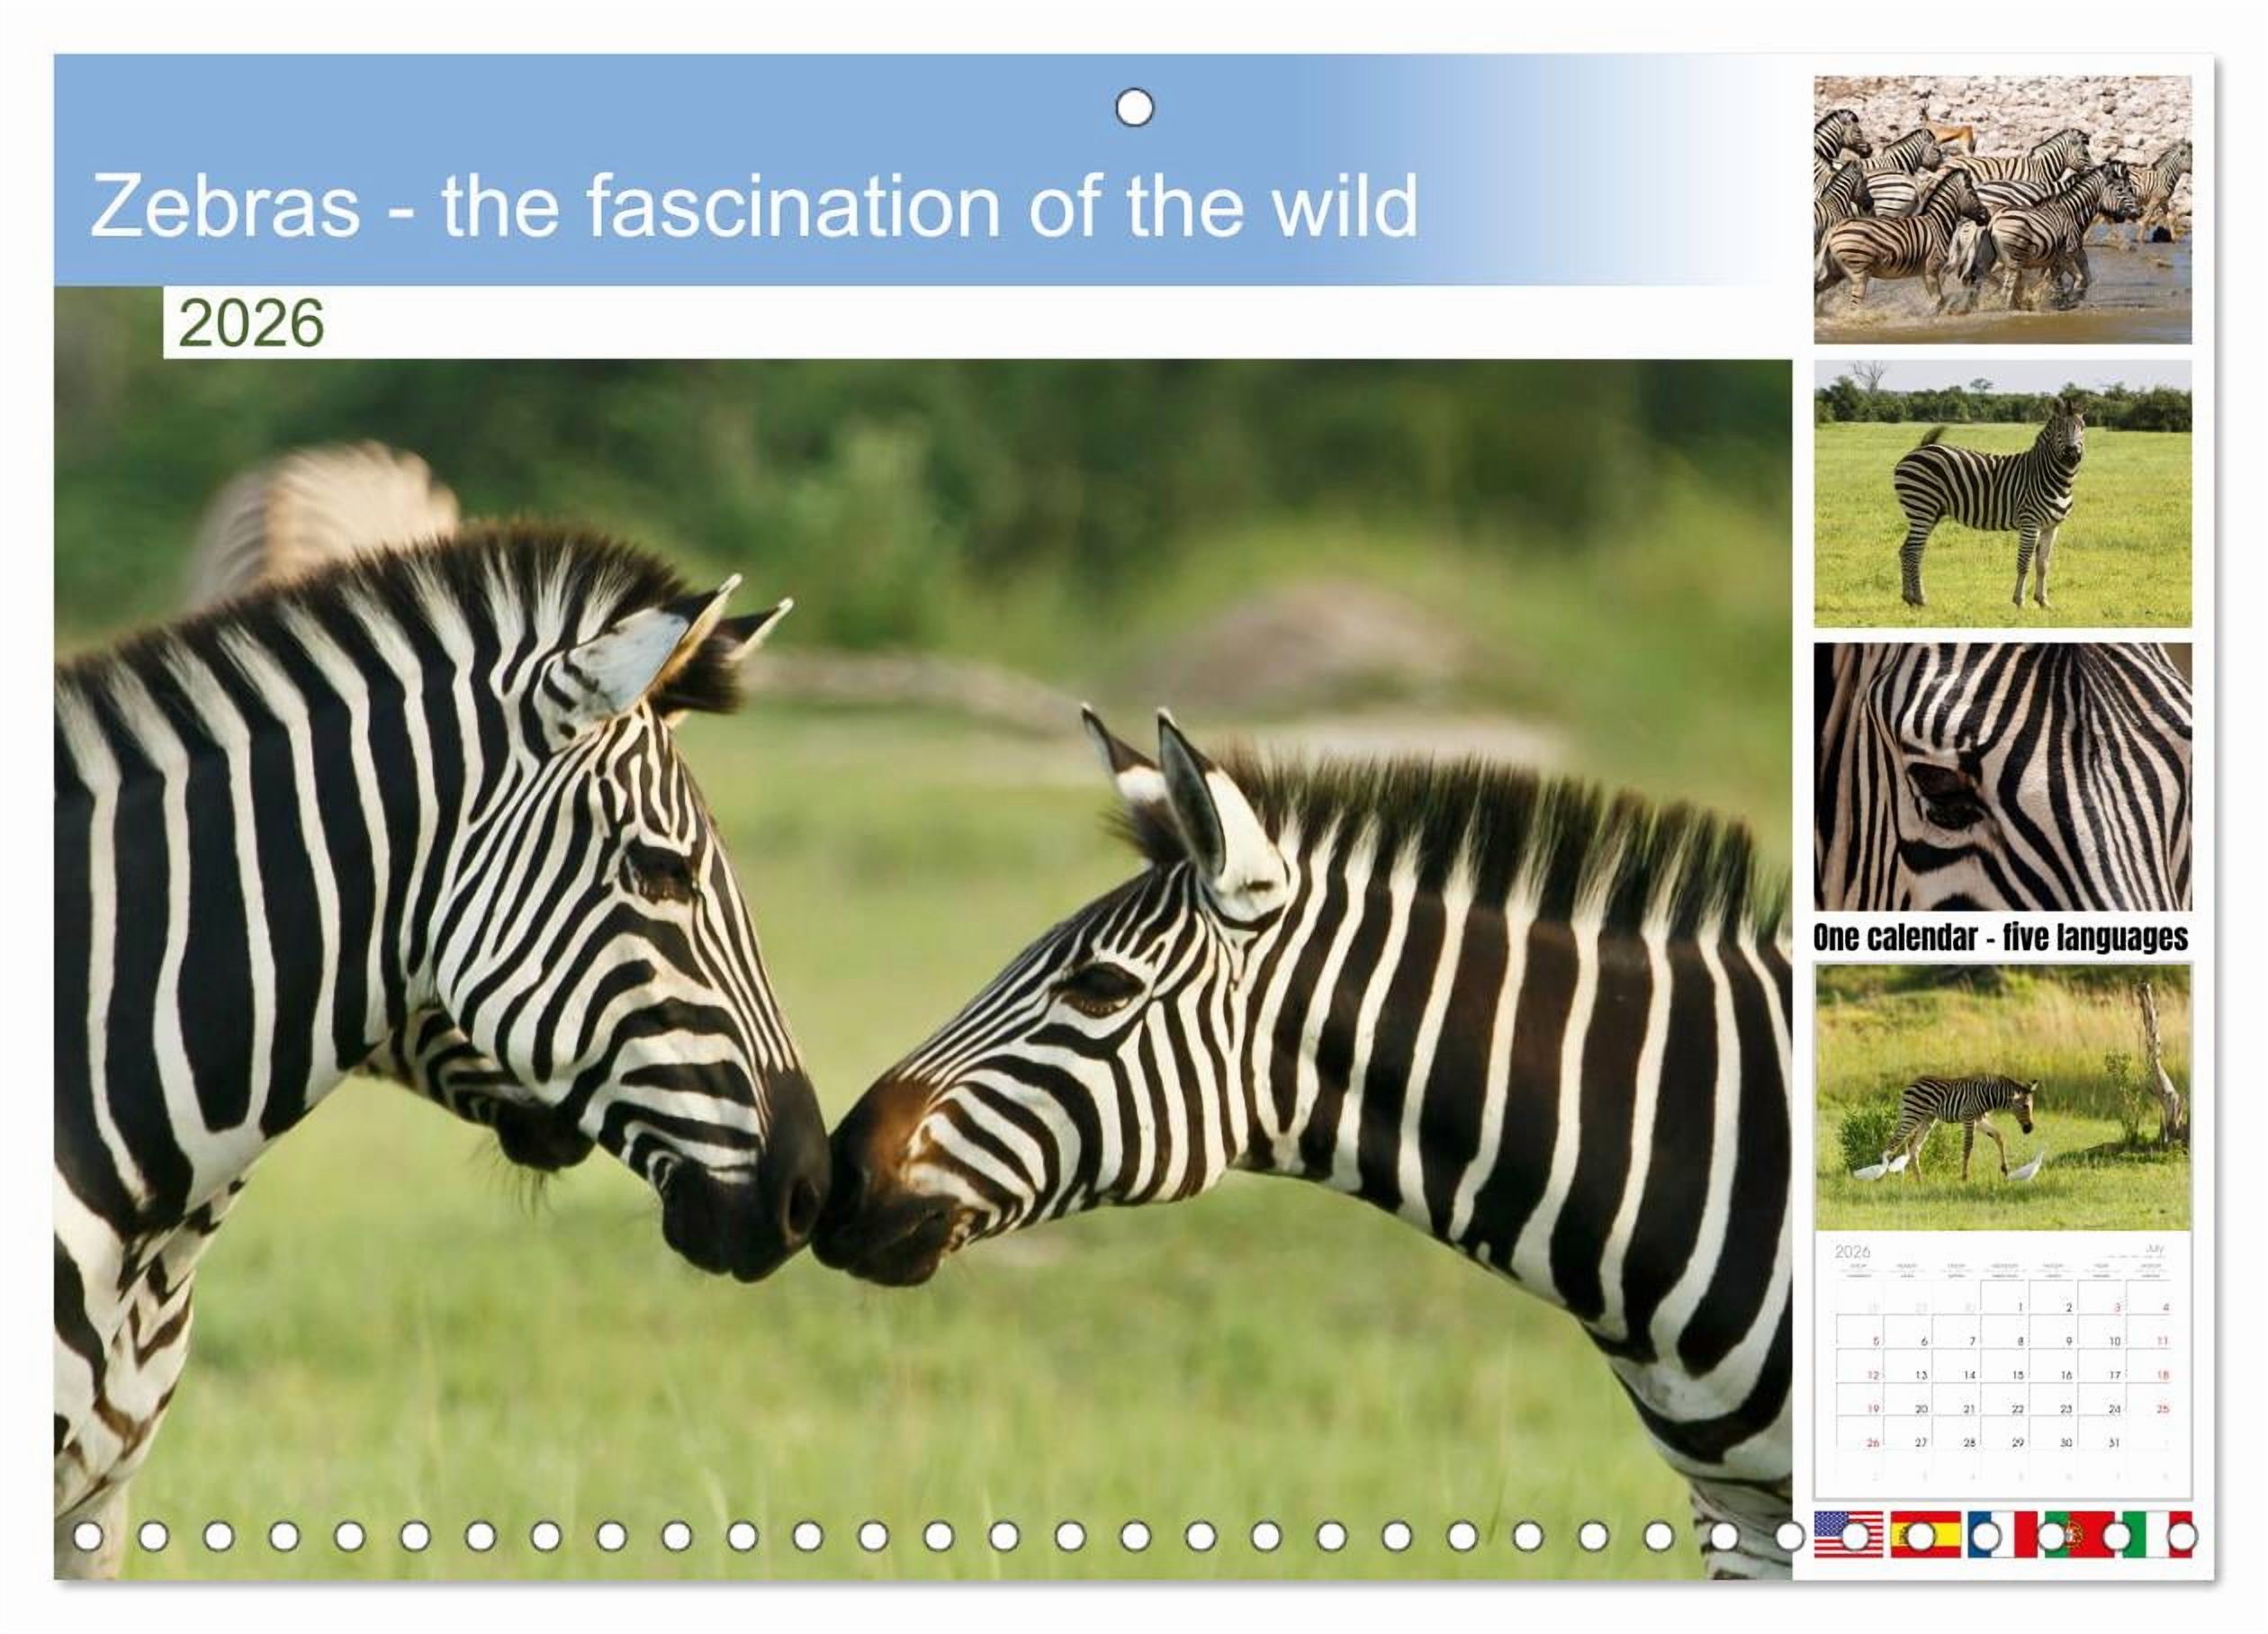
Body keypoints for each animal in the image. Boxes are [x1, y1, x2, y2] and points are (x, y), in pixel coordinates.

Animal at [1816, 169, 1988, 308]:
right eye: (1974, 194)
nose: (1987, 215)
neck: (1937, 223)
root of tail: (1834, 229)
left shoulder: (1925, 272)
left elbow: (1939, 300)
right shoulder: (1932, 268)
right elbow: (1938, 300)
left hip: (1835, 271)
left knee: (1817, 287)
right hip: (1859, 273)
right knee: (1854, 306)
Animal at [1861, 1076, 2038, 1182]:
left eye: (2032, 1106)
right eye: (2025, 1106)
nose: (2030, 1129)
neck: (1989, 1096)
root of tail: (1911, 1084)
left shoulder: (1979, 1119)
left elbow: (1998, 1136)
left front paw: (2005, 1169)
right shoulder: (1968, 1117)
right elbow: (1968, 1147)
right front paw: (1964, 1177)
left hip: (1927, 1119)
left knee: (1914, 1148)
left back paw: (1920, 1180)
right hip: (1912, 1116)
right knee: (1893, 1142)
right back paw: (1880, 1177)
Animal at [1891, 401, 2086, 609]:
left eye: (2082, 428)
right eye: (2060, 429)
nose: (2072, 455)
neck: (2053, 478)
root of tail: (1917, 450)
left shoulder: (2052, 527)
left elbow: (2043, 564)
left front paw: (2043, 601)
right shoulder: (2030, 523)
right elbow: (2024, 563)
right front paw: (2019, 601)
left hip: (1930, 512)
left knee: (1908, 551)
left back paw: (1909, 598)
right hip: (1922, 507)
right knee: (1913, 552)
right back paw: (1919, 599)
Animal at [1986, 164, 2142, 310]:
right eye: (2120, 190)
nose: (2139, 213)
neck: (2072, 214)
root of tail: (1995, 220)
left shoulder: (2059, 257)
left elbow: (2073, 278)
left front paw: (2047, 298)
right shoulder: (2065, 255)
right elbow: (2071, 279)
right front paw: (2058, 299)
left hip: (2000, 259)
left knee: (1990, 276)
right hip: (2014, 259)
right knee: (2007, 289)